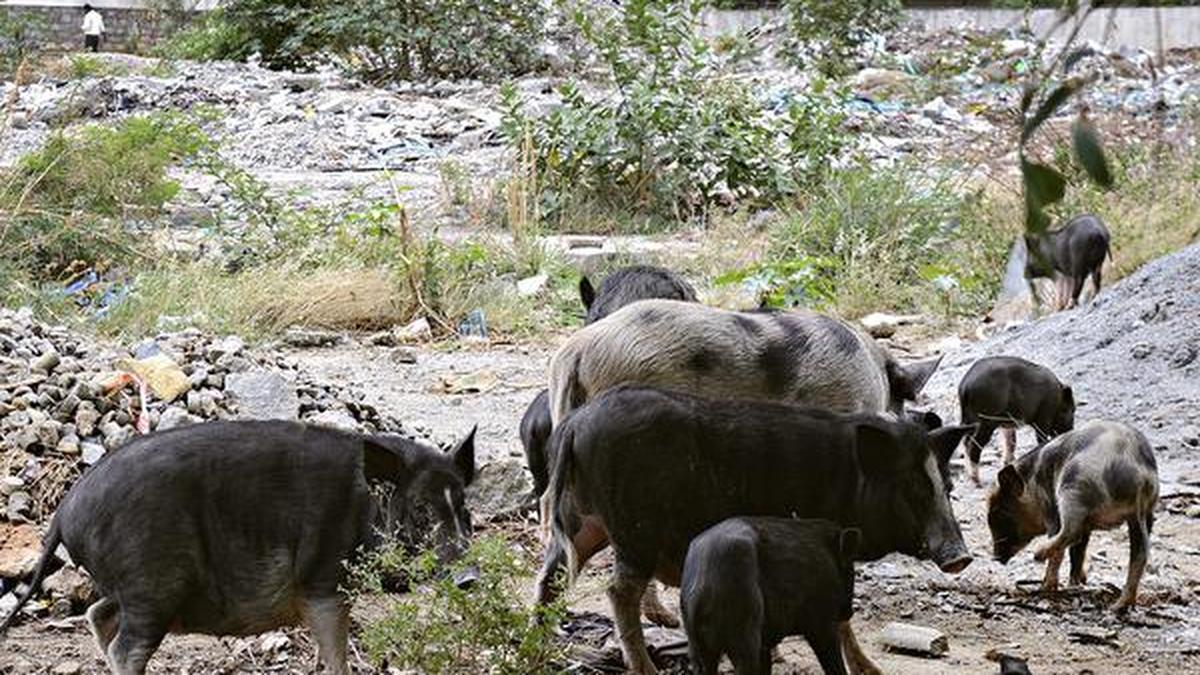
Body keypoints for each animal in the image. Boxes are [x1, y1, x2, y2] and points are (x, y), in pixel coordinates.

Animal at [0, 420, 477, 675]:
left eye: (464, 507)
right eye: (420, 510)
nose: (470, 576)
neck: (366, 506)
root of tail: (64, 511)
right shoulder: (323, 579)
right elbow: (335, 648)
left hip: (131, 587)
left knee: (98, 614)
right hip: (151, 585)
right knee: (124, 644)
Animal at [681, 517, 860, 675]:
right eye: (852, 571)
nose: (849, 612)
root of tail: (699, 588)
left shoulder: (765, 641)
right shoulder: (822, 620)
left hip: (697, 645)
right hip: (743, 628)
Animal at [958, 356, 1075, 485]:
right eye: (1070, 410)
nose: (1071, 430)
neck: (1058, 399)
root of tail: (964, 387)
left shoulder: (1007, 424)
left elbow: (1011, 442)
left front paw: (1008, 464)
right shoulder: (1044, 418)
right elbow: (1041, 440)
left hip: (968, 419)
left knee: (965, 441)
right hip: (986, 420)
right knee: (973, 445)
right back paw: (977, 481)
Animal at [987, 420, 1158, 613]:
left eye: (998, 512)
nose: (995, 557)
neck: (1032, 482)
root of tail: (1139, 475)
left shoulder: (1050, 510)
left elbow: (1063, 549)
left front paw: (1046, 585)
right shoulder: (1088, 525)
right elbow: (1078, 551)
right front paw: (1075, 583)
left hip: (1072, 491)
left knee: (1070, 532)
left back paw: (1038, 556)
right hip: (1142, 515)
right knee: (1140, 555)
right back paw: (1118, 606)